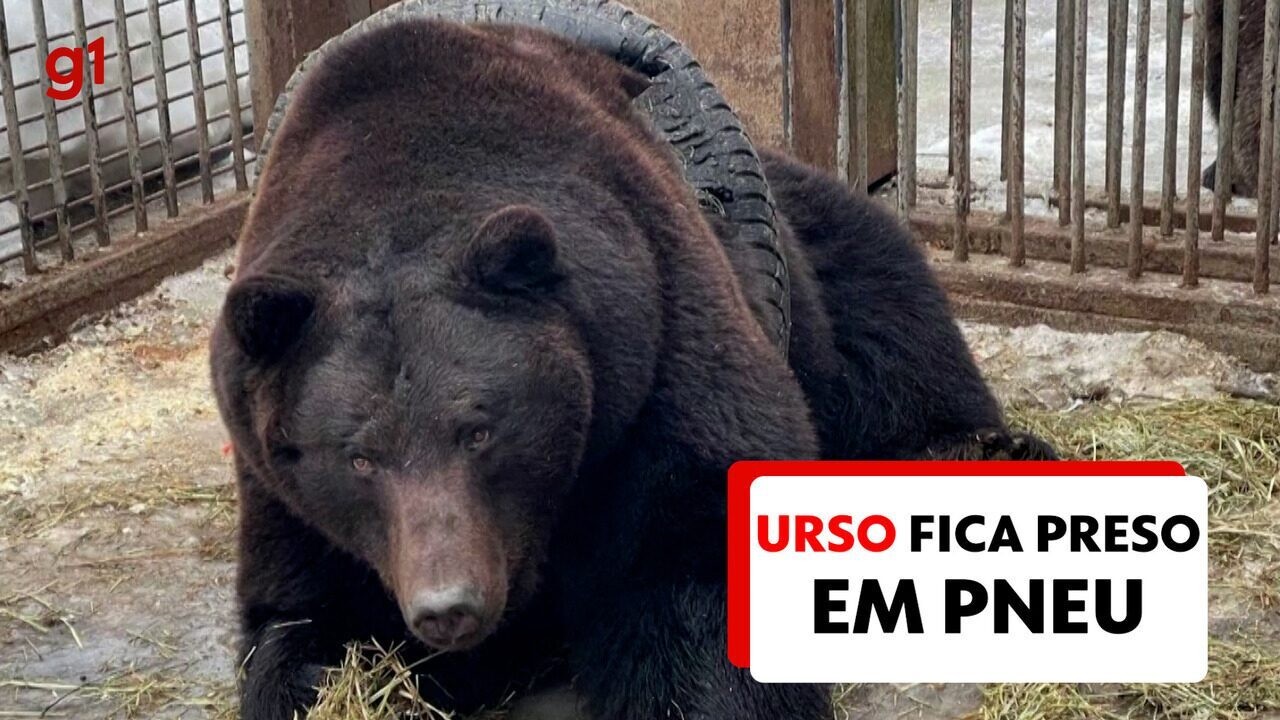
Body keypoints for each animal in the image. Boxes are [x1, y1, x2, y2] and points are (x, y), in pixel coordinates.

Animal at [210, 18, 1052, 720]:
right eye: (357, 458)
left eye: (480, 430)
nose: (449, 605)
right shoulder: (290, 495)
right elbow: (304, 625)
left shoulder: (653, 349)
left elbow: (690, 575)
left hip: (813, 267)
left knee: (884, 315)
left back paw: (981, 450)